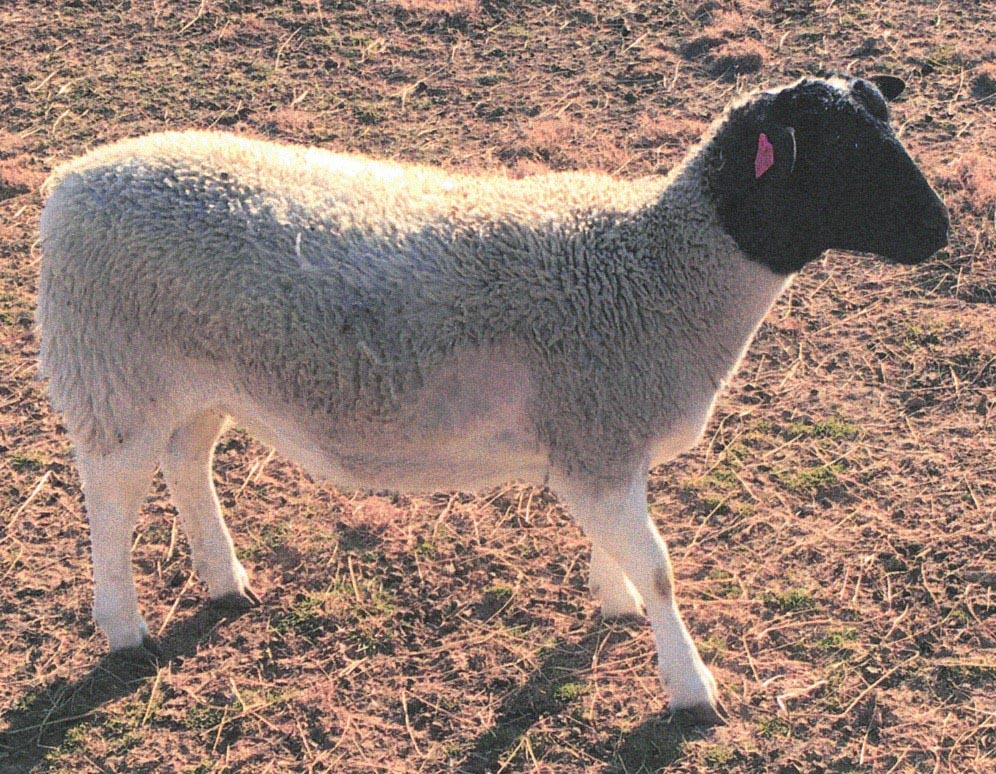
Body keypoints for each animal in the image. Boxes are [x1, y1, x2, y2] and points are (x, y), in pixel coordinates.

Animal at [37, 74, 948, 725]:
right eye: (842, 152)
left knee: (187, 462)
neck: (659, 268)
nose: (940, 232)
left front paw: (613, 603)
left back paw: (226, 581)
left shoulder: (601, 442)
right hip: (110, 371)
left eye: (887, 132)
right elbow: (660, 570)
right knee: (110, 500)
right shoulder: (596, 435)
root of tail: (70, 182)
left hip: (196, 377)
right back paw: (124, 628)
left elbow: (627, 555)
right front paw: (692, 691)